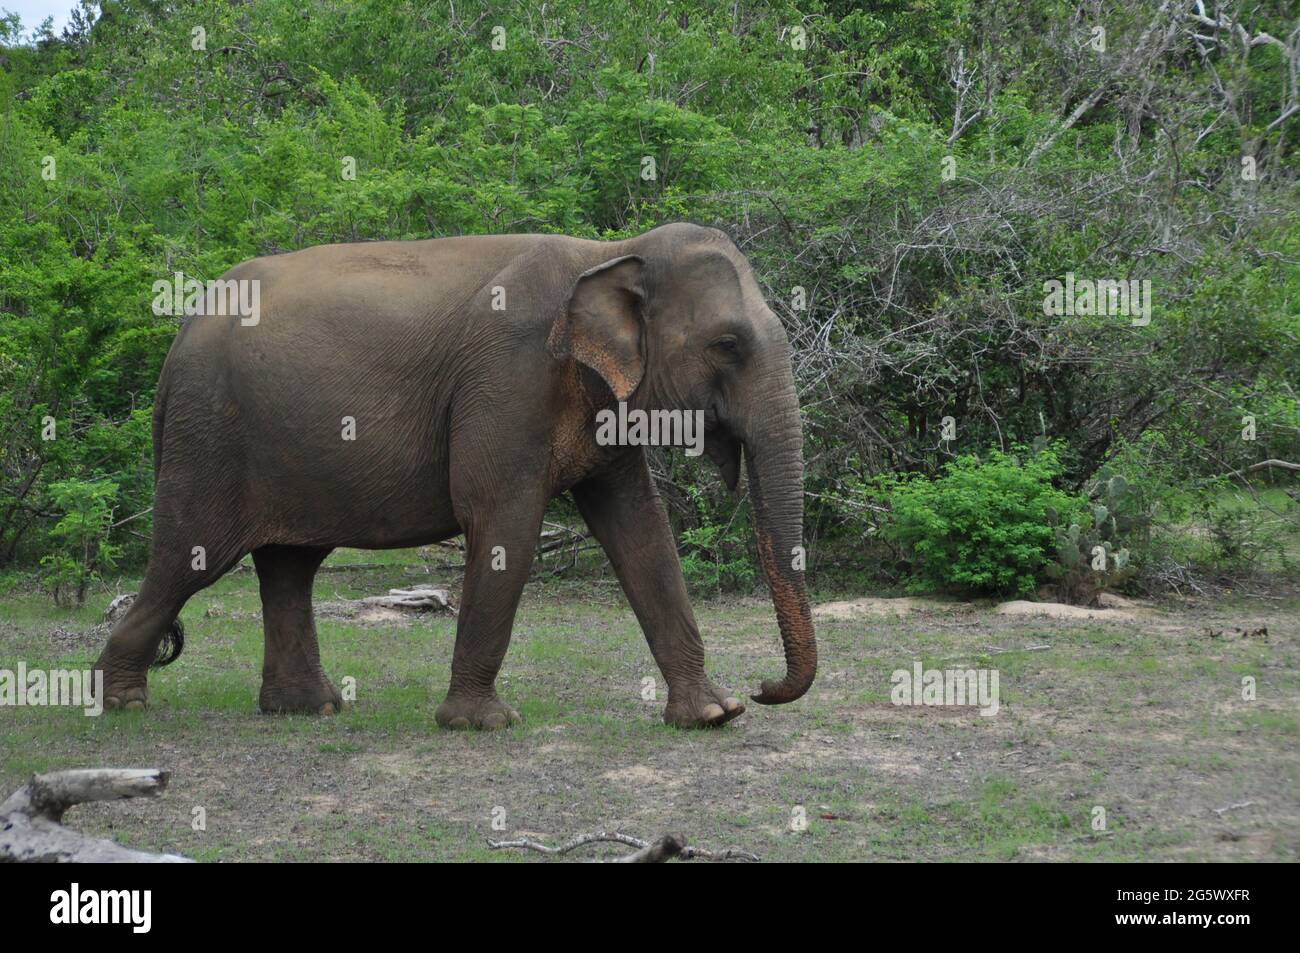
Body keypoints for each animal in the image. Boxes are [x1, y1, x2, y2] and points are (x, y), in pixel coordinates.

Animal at [93, 222, 817, 729]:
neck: (610, 250)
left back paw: (310, 708)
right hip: (210, 438)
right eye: (727, 344)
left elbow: (641, 531)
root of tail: (177, 341)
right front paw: (481, 723)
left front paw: (713, 715)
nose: (762, 686)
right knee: (191, 558)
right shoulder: (507, 379)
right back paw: (121, 702)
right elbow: (503, 523)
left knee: (289, 566)